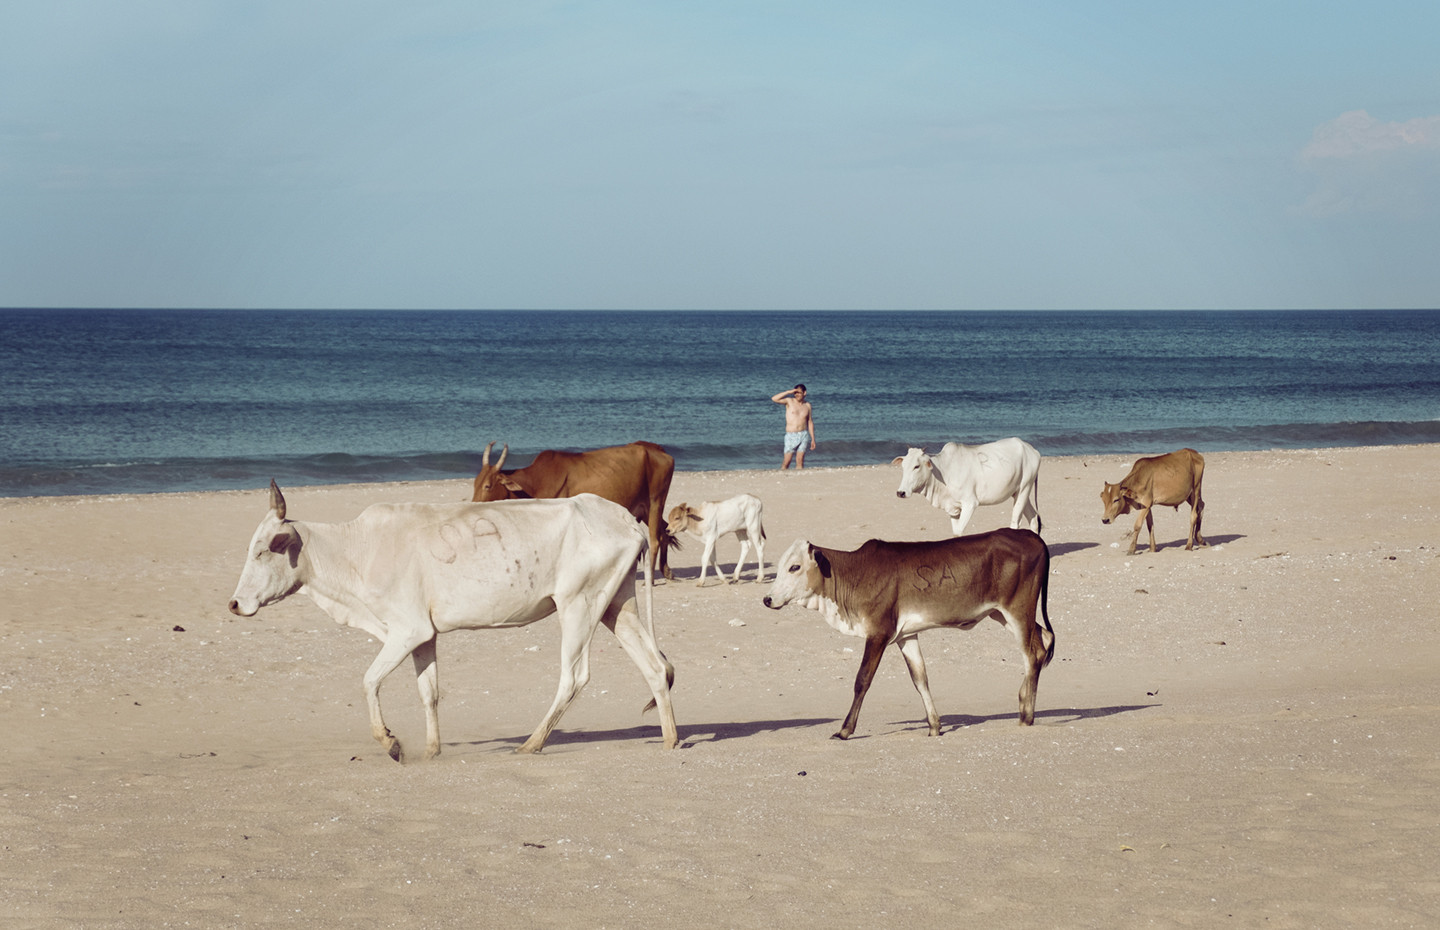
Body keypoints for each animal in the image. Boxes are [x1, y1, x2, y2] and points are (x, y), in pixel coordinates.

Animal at [228, 481, 679, 761]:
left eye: (264, 550)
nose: (234, 604)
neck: (355, 551)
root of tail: (624, 518)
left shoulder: (406, 630)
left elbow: (369, 680)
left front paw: (391, 743)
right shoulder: (424, 635)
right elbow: (429, 692)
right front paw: (431, 750)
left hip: (578, 604)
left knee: (574, 676)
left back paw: (531, 744)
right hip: (615, 604)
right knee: (654, 666)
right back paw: (671, 739)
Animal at [474, 441, 677, 580]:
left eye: (487, 485)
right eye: (475, 483)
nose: (473, 504)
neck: (535, 481)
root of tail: (657, 449)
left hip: (656, 502)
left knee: (655, 539)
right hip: (646, 508)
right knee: (665, 531)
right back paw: (667, 571)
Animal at [762, 529, 1056, 740]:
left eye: (795, 567)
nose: (767, 598)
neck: (853, 574)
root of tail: (1030, 535)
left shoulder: (879, 633)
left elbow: (862, 680)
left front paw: (845, 730)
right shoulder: (905, 636)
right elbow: (920, 679)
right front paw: (935, 726)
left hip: (1018, 610)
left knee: (1031, 655)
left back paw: (1027, 715)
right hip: (1002, 614)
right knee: (1042, 643)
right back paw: (1023, 702)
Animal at [893, 438, 1042, 537]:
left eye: (916, 466)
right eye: (903, 466)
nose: (901, 492)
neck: (943, 471)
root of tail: (1031, 450)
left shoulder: (970, 503)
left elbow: (959, 531)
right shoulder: (952, 508)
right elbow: (955, 532)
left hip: (1024, 488)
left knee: (1015, 523)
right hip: (1018, 492)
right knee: (1034, 519)